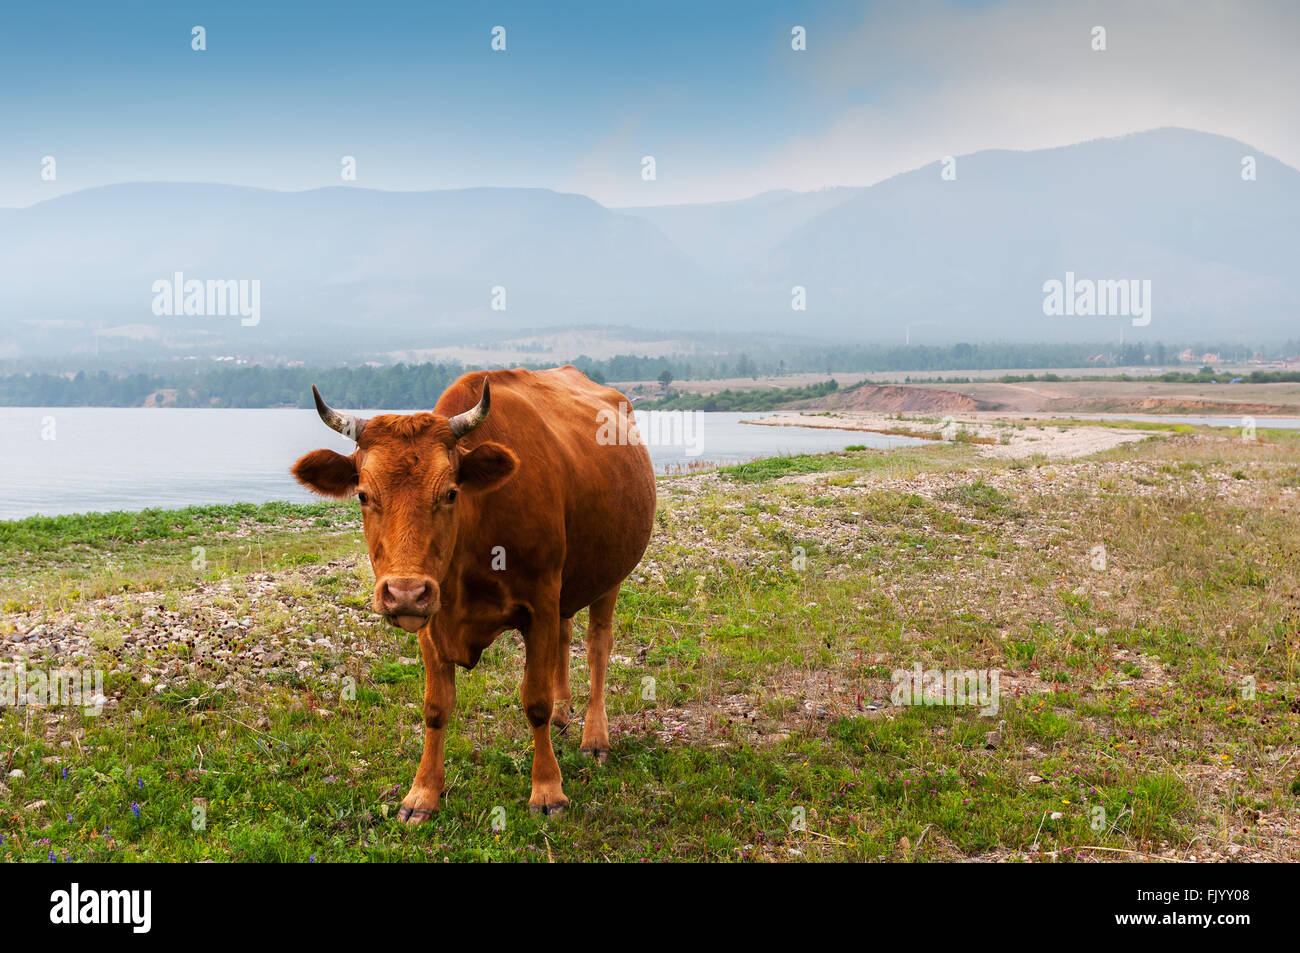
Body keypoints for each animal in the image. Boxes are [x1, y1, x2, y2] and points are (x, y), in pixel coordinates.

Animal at [291, 366, 656, 821]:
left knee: (597, 647)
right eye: (363, 495)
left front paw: (548, 789)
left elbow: (533, 700)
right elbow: (435, 708)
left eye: (450, 492)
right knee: (565, 637)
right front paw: (422, 794)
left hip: (610, 575)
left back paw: (595, 737)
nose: (405, 592)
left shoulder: (539, 603)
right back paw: (562, 714)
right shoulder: (433, 621)